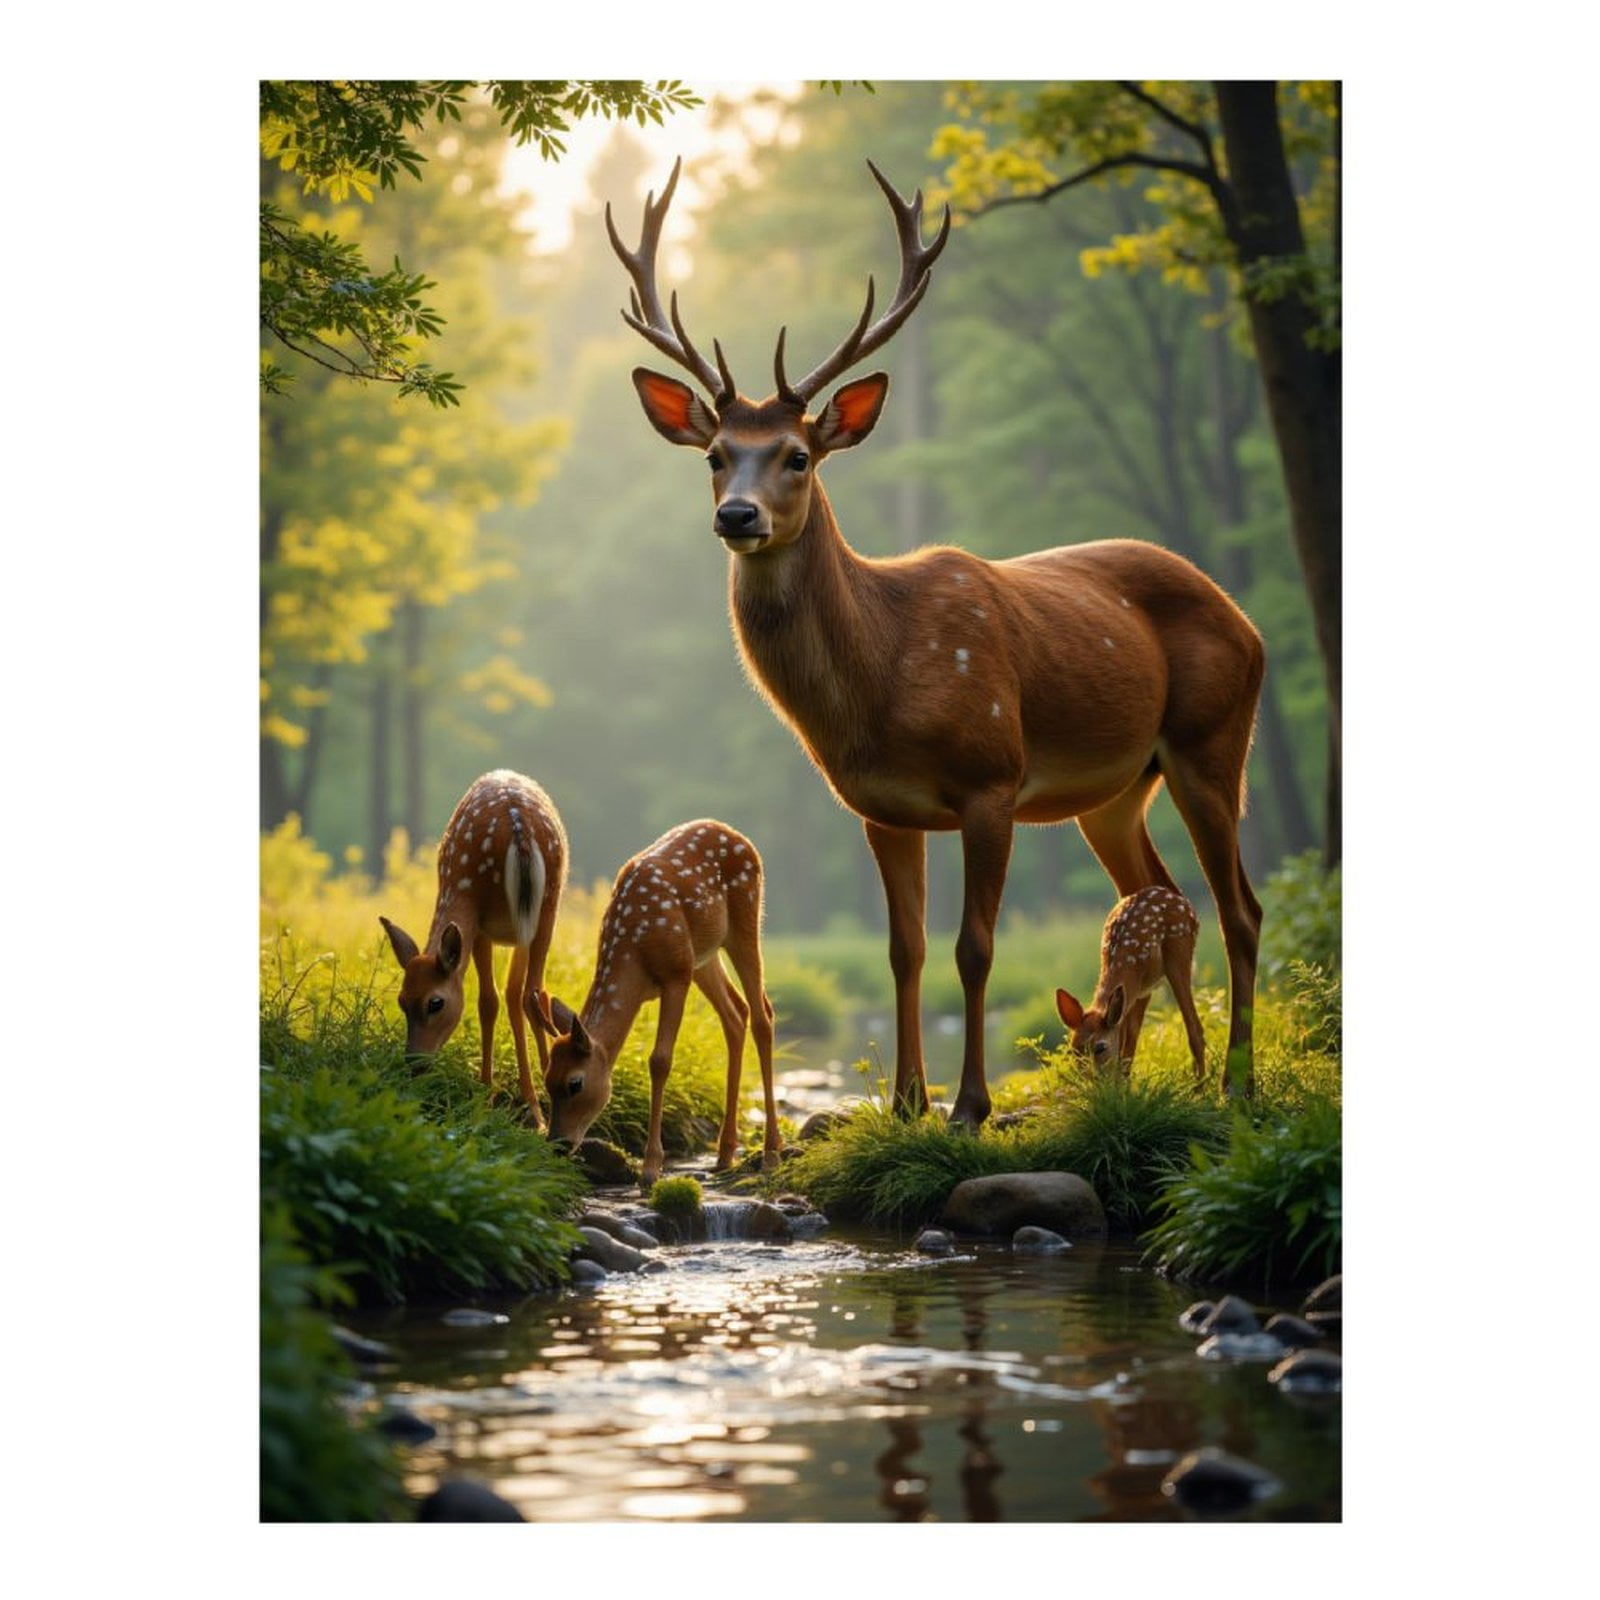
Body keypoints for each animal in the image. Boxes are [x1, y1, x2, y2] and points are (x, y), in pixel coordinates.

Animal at [379, 769, 567, 1123]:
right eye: (401, 1000)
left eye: (435, 1003)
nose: (415, 1065)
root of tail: (518, 824)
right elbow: (509, 995)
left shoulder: (481, 926)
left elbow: (487, 1001)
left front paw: (484, 1095)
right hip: (545, 907)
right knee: (528, 993)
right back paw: (541, 1107)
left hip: (517, 912)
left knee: (517, 995)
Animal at [530, 819, 780, 1186]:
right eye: (546, 1078)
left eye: (575, 1083)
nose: (559, 1144)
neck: (633, 949)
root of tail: (736, 834)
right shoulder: (683, 968)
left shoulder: (675, 976)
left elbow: (659, 1061)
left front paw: (650, 1169)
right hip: (702, 957)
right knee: (736, 1013)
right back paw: (723, 1154)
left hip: (744, 918)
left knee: (763, 1014)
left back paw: (771, 1152)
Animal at [1055, 886, 1208, 1087]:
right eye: (1074, 1051)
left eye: (1100, 1047)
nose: (1091, 1084)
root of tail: (1178, 897)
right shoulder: (1133, 995)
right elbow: (1127, 1045)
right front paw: (1121, 1087)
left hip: (1179, 951)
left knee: (1195, 1029)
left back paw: (1200, 1087)